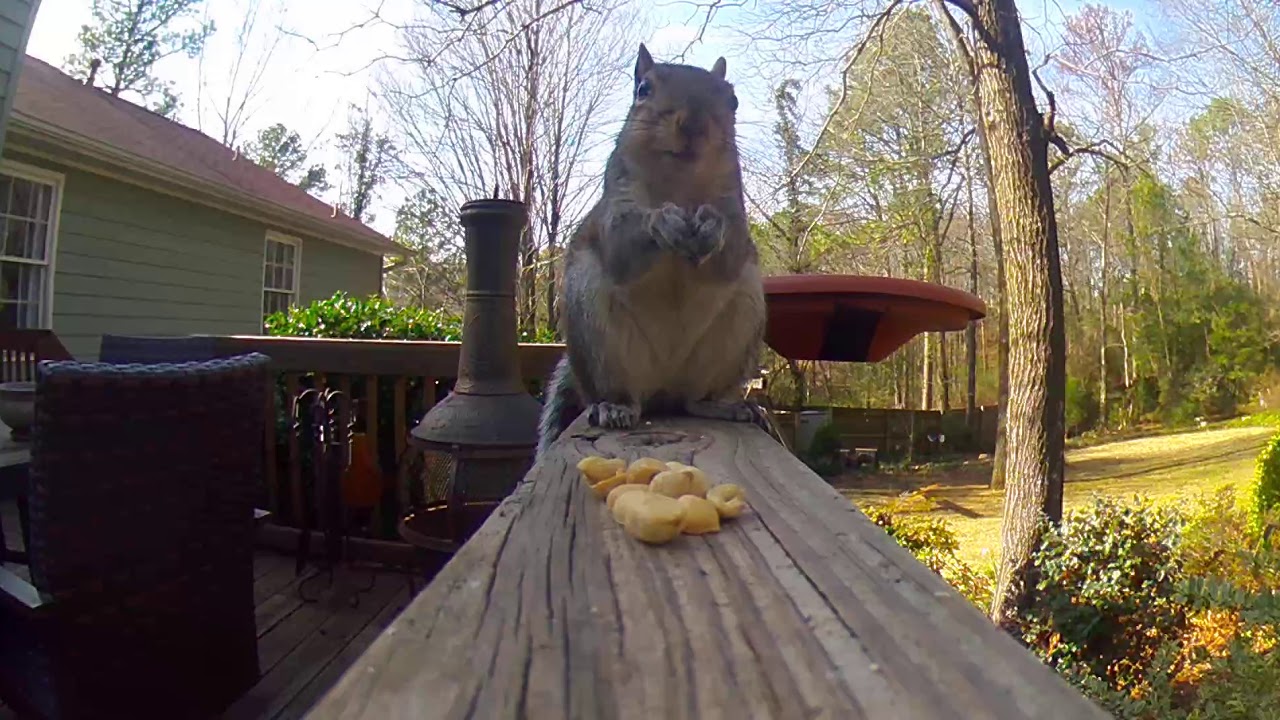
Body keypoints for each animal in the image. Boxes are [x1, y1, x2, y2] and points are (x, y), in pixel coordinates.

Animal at [536, 43, 771, 458]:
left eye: (733, 99)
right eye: (643, 89)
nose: (693, 125)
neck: (680, 181)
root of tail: (664, 390)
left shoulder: (736, 213)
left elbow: (729, 256)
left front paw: (712, 227)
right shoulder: (615, 205)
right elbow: (621, 248)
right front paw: (662, 222)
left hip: (740, 329)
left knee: (695, 400)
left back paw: (726, 407)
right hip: (597, 337)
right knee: (620, 393)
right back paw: (613, 407)